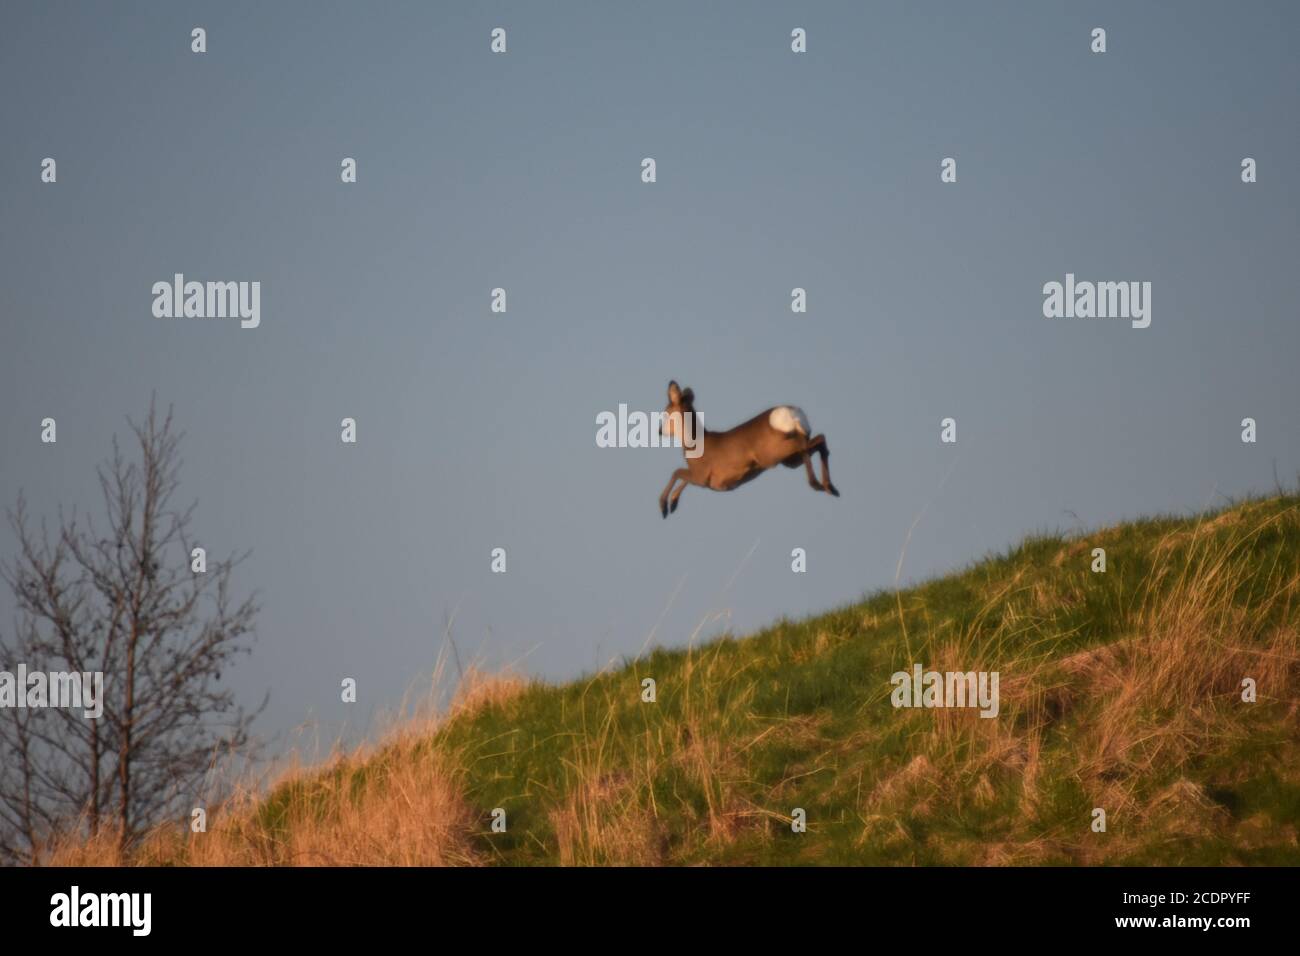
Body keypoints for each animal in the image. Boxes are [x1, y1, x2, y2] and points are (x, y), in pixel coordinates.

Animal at [658, 380, 839, 518]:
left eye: (666, 412)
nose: (660, 431)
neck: (693, 444)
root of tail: (792, 414)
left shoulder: (701, 475)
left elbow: (676, 472)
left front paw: (664, 506)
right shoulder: (703, 479)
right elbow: (682, 478)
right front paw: (673, 503)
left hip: (773, 454)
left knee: (806, 446)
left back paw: (817, 484)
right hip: (789, 458)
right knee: (819, 441)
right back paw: (830, 487)